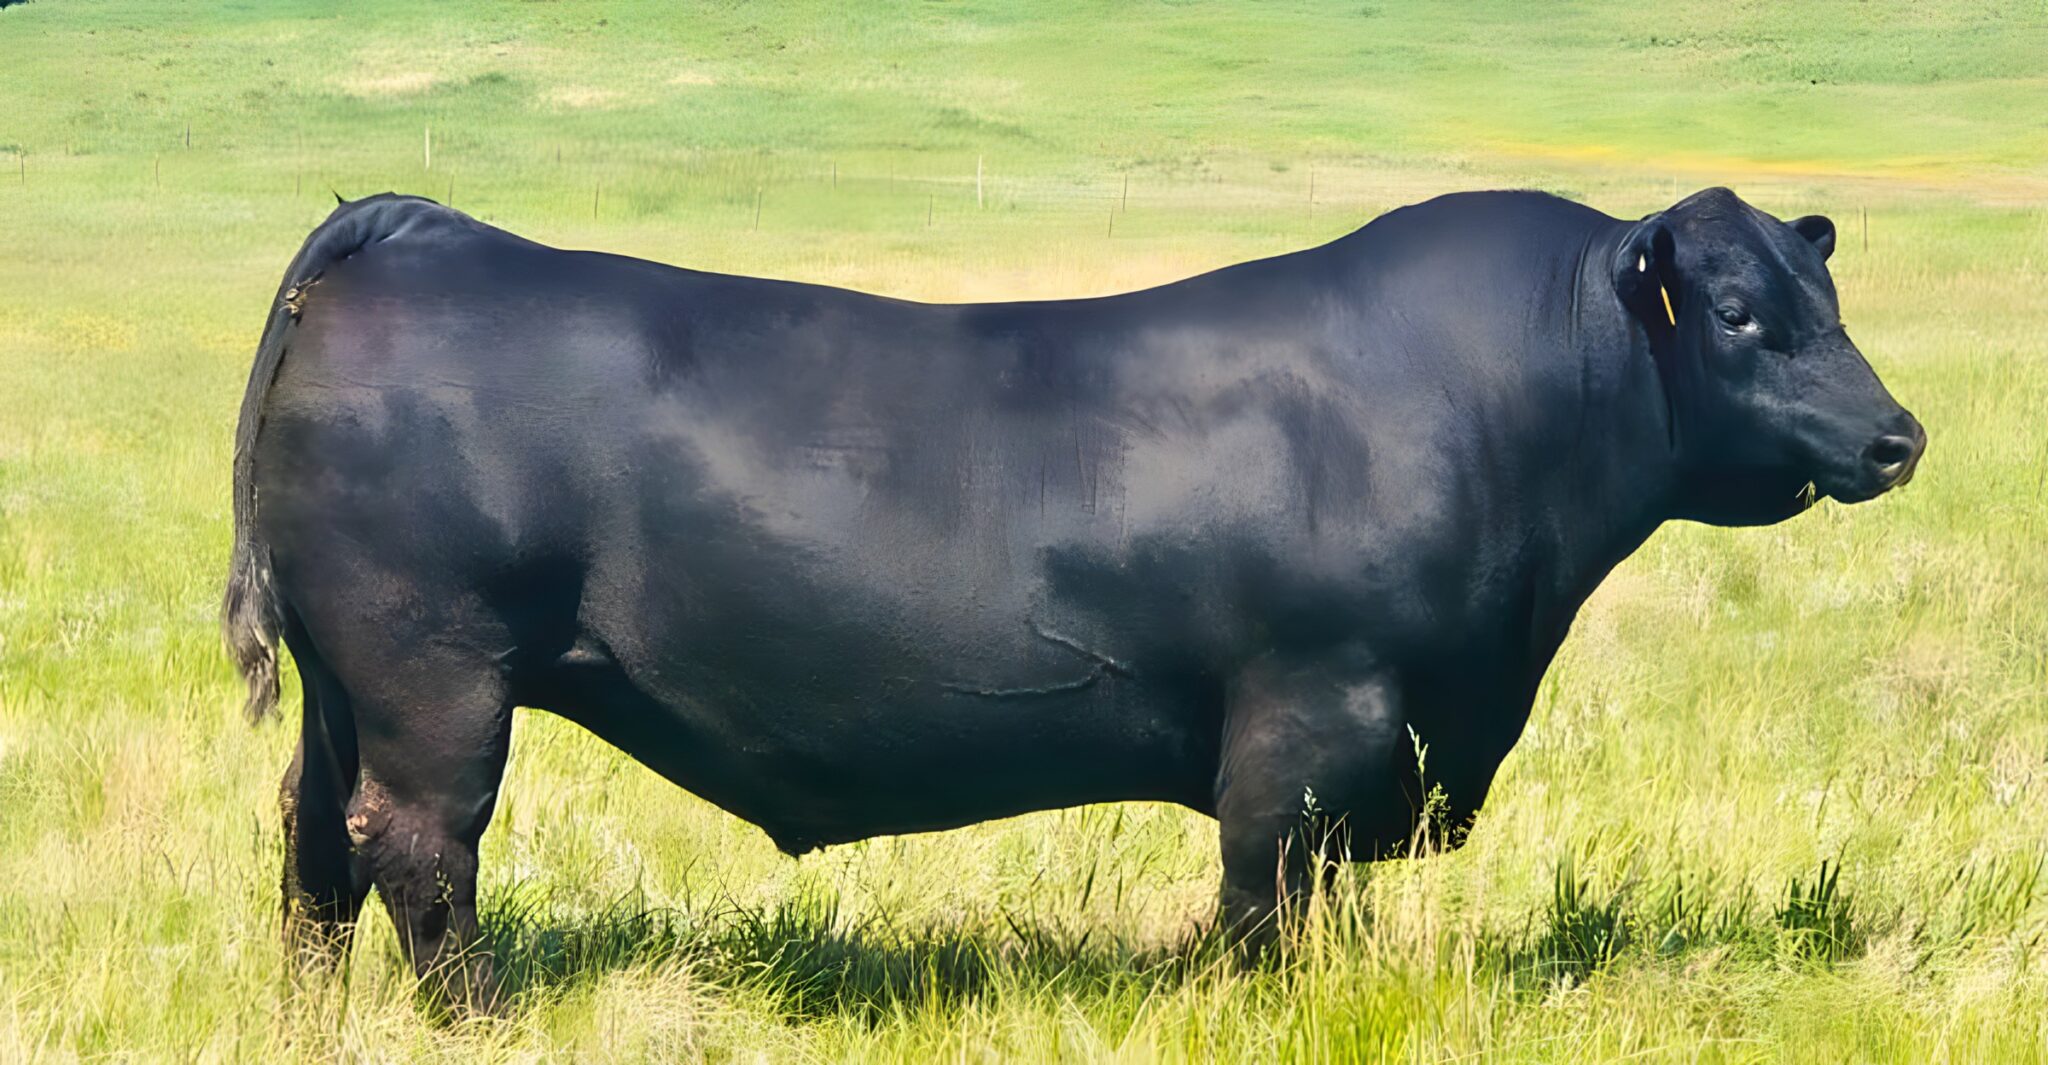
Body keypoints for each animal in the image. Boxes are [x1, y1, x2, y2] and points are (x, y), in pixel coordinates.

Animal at [223, 186, 1924, 1006]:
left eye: (1831, 294)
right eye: (1737, 312)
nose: (1897, 436)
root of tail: (428, 236)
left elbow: (1310, 900)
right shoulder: (1312, 706)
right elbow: (1264, 898)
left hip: (346, 680)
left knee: (313, 842)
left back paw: (315, 1014)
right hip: (436, 666)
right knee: (415, 843)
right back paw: (483, 1017)